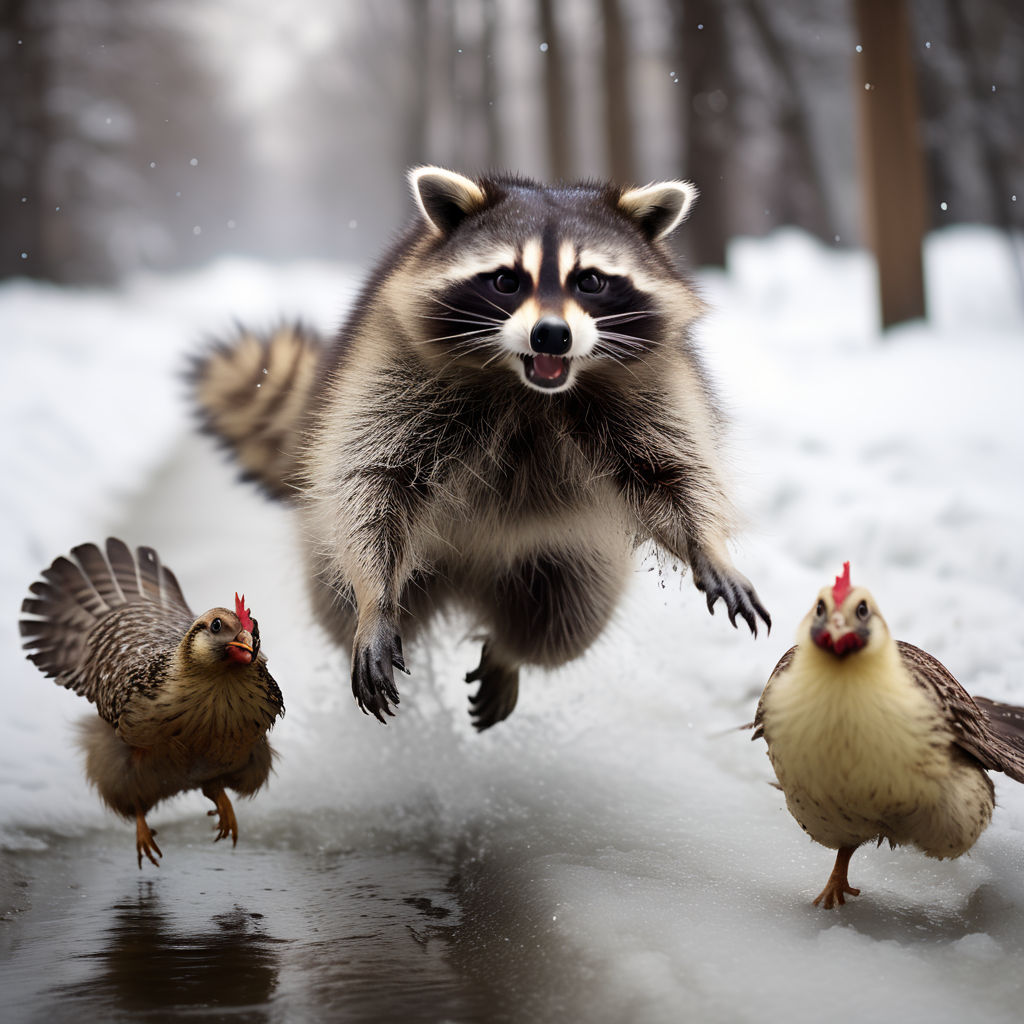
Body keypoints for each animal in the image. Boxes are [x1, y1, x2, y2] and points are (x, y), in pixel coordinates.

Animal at [191, 167, 770, 730]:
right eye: (507, 280)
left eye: (590, 280)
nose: (551, 336)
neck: (531, 388)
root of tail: (470, 580)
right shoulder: (394, 367)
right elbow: (374, 482)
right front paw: (374, 601)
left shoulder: (648, 383)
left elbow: (672, 473)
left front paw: (707, 545)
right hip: (346, 540)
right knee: (338, 591)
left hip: (568, 557)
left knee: (567, 620)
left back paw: (510, 654)